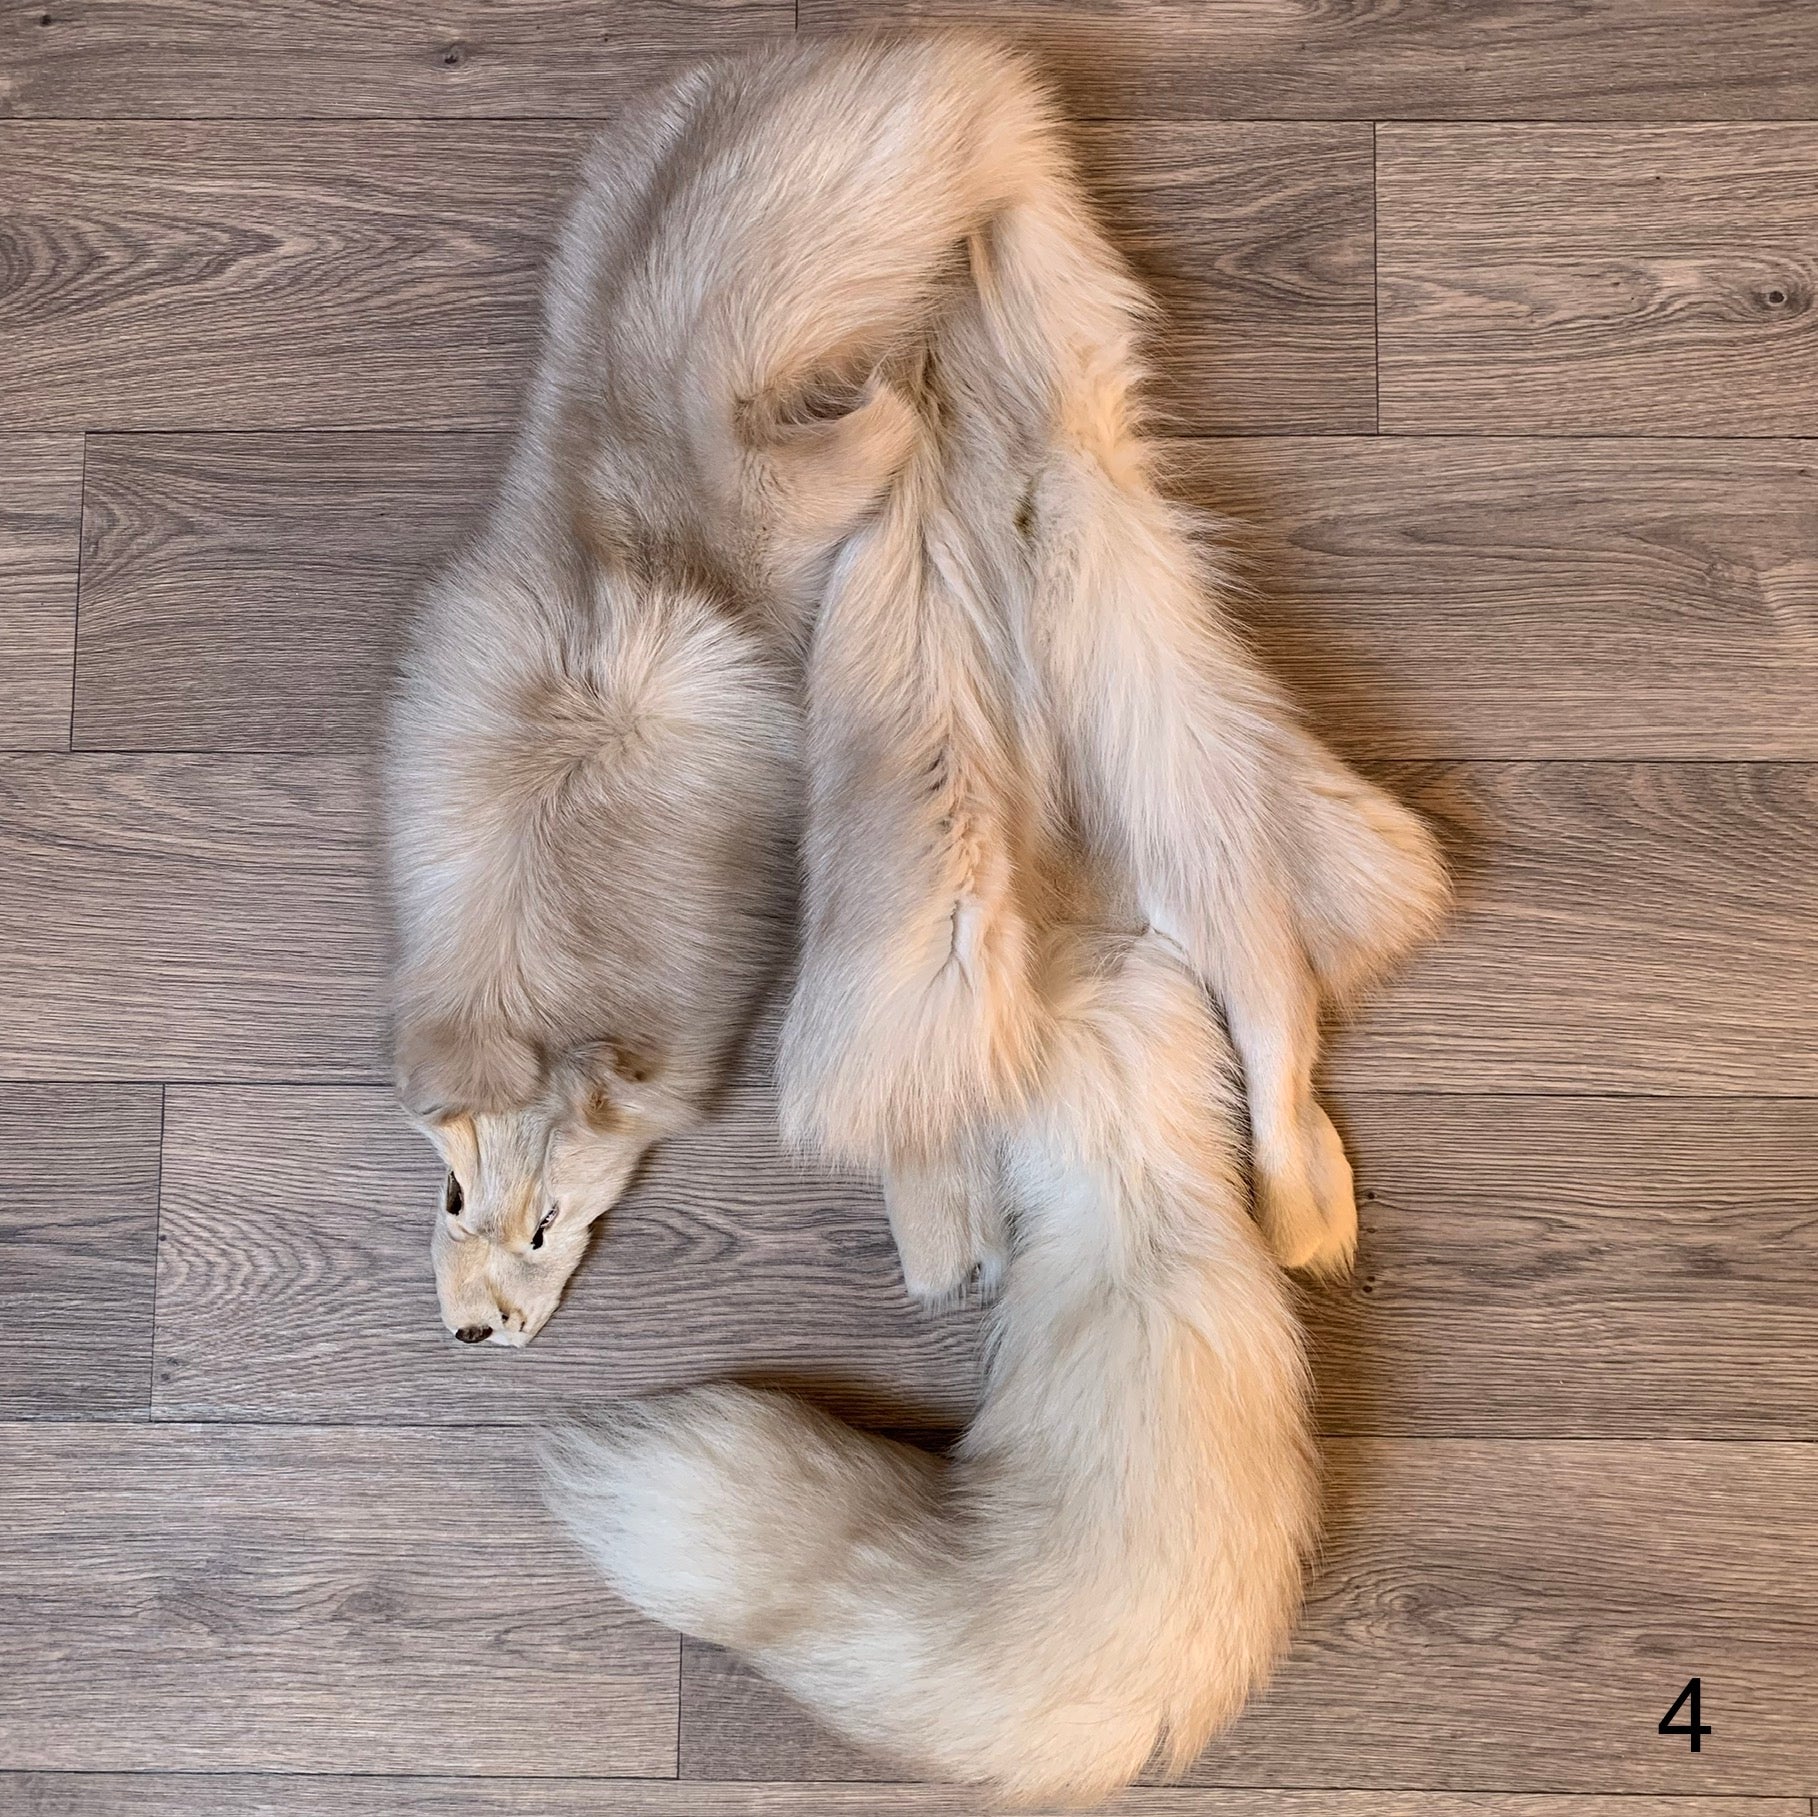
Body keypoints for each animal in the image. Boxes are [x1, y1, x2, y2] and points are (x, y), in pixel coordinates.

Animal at [387, 32, 1445, 1800]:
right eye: (454, 1202)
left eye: (544, 1230)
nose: (474, 1338)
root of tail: (907, 42)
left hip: (1162, 798)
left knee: (1268, 1000)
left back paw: (1298, 1195)